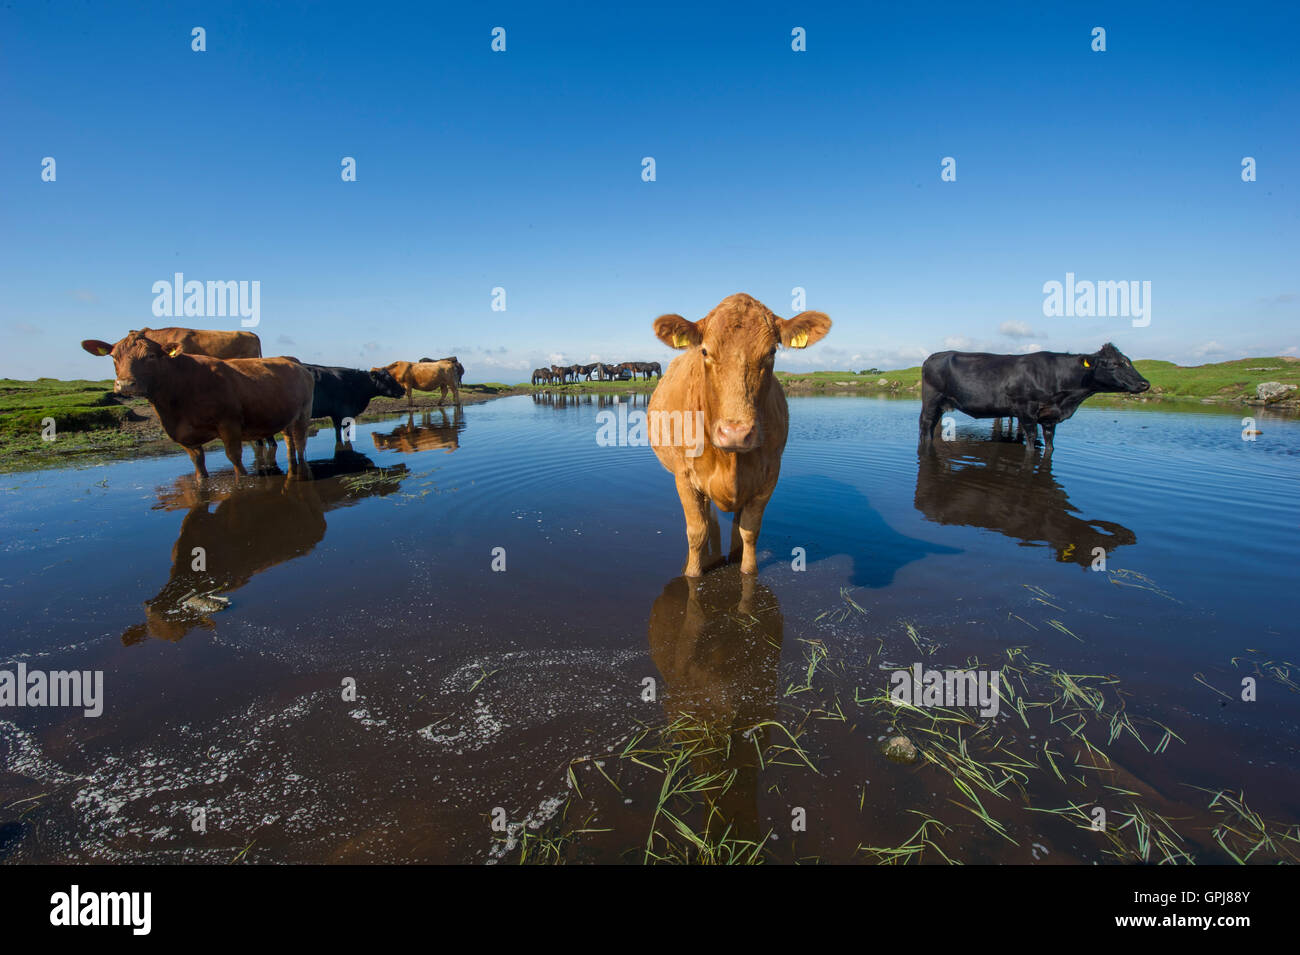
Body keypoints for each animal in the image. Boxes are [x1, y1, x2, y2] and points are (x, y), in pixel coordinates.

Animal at [80, 331, 314, 479]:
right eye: (113, 356)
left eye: (151, 356)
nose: (126, 384)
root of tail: (292, 361)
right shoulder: (184, 437)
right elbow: (198, 467)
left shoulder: (229, 424)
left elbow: (235, 460)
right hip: (285, 416)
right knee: (289, 441)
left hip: (303, 413)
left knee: (300, 443)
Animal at [648, 293, 831, 576]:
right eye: (705, 351)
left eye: (771, 351)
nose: (735, 433)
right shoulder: (684, 476)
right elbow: (696, 532)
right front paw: (693, 572)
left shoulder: (769, 476)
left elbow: (750, 530)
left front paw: (747, 568)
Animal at [919, 343, 1149, 454]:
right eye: (1115, 364)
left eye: (1128, 361)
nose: (1145, 383)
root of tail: (932, 356)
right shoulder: (1026, 411)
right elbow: (1030, 441)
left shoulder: (1050, 417)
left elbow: (1050, 443)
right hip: (931, 401)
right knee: (926, 425)